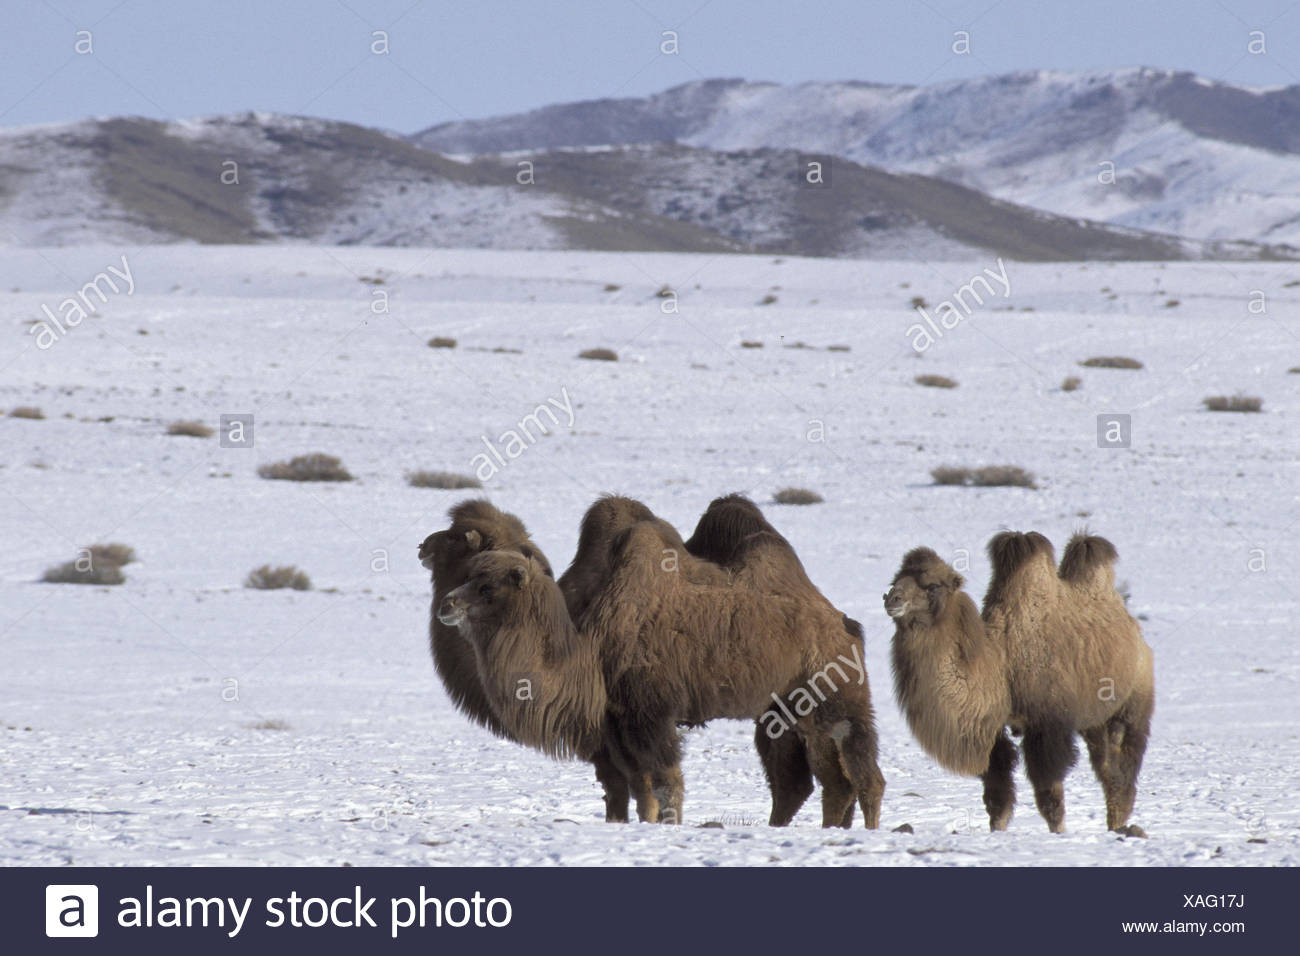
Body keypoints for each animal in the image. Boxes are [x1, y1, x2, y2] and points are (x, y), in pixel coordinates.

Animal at [441, 518, 886, 829]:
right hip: (789, 712)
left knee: (863, 772)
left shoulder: (651, 712)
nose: (447, 603)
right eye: (469, 577)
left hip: (836, 695)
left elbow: (667, 781)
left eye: (487, 587)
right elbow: (641, 787)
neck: (592, 652)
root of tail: (845, 624)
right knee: (823, 780)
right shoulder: (619, 723)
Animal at [885, 531, 1154, 834]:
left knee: (1124, 760)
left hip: (1134, 699)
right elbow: (997, 792)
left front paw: (1059, 833)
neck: (1001, 666)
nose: (892, 599)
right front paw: (997, 832)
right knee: (1107, 766)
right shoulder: (992, 729)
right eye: (895, 580)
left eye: (932, 585)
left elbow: (1049, 793)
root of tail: (1135, 631)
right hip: (1094, 719)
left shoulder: (1047, 726)